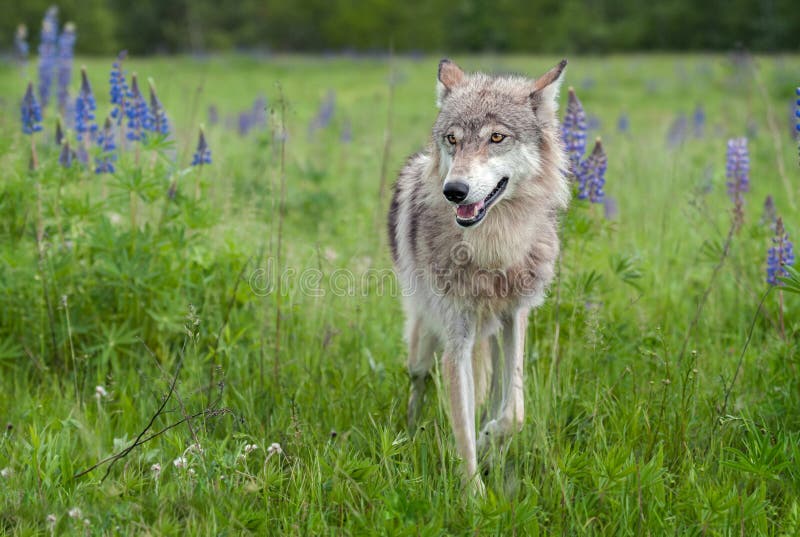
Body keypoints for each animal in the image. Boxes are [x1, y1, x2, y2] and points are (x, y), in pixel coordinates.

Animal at [387, 59, 570, 493]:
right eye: (452, 139)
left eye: (496, 137)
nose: (454, 190)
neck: (493, 248)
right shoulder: (457, 341)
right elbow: (463, 429)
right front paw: (473, 497)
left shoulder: (516, 318)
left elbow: (514, 413)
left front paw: (490, 440)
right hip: (425, 337)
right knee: (418, 380)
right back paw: (409, 430)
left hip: (492, 338)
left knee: (497, 393)